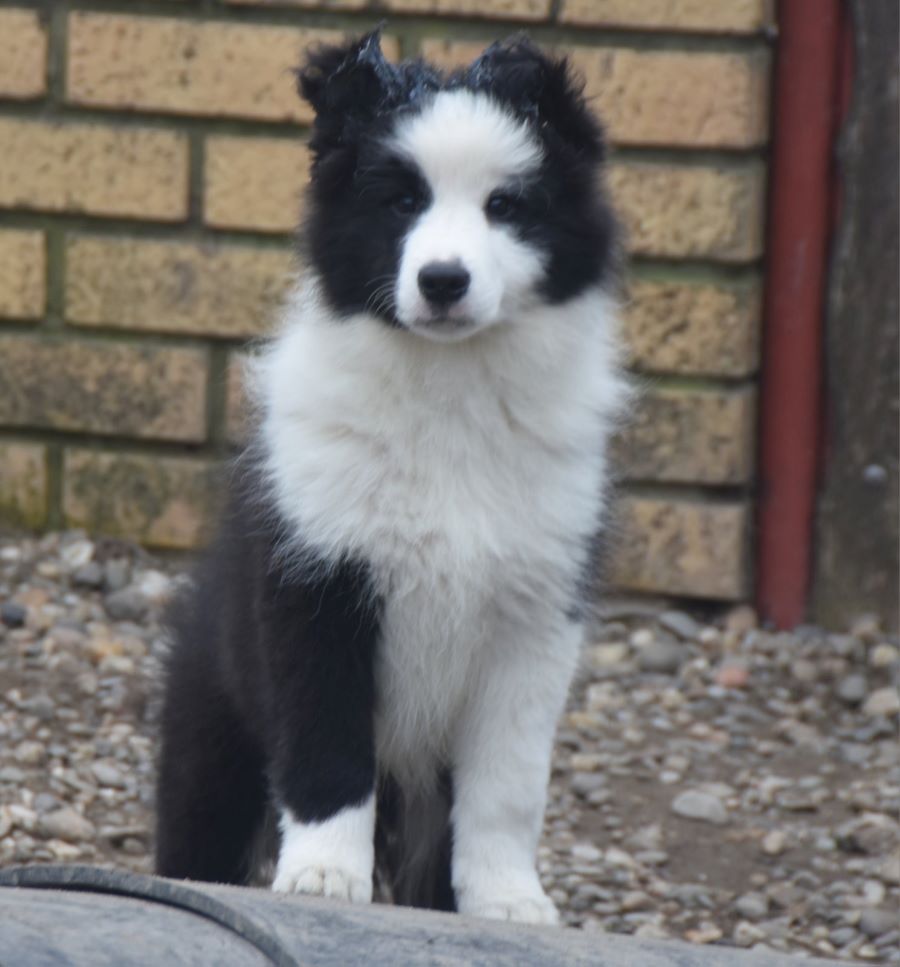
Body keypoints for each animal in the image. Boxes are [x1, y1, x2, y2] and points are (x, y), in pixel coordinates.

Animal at [156, 28, 624, 924]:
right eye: (401, 202)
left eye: (504, 206)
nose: (443, 281)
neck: (449, 391)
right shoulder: (318, 588)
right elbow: (327, 745)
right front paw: (321, 875)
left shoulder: (535, 615)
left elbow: (508, 781)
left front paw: (509, 898)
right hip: (212, 739)